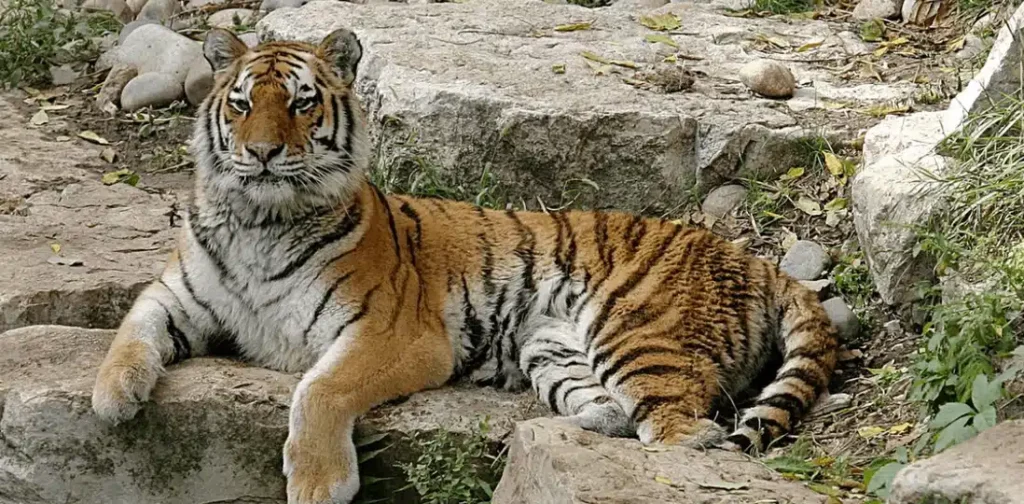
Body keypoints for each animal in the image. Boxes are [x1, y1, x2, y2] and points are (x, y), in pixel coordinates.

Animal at [90, 27, 838, 504]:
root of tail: (760, 261)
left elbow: (318, 390)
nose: (263, 153)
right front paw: (112, 398)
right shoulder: (178, 294)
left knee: (686, 433)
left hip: (637, 330)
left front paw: (318, 484)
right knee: (617, 412)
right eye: (242, 102)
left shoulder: (394, 334)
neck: (259, 222)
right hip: (550, 345)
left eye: (301, 102)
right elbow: (130, 332)